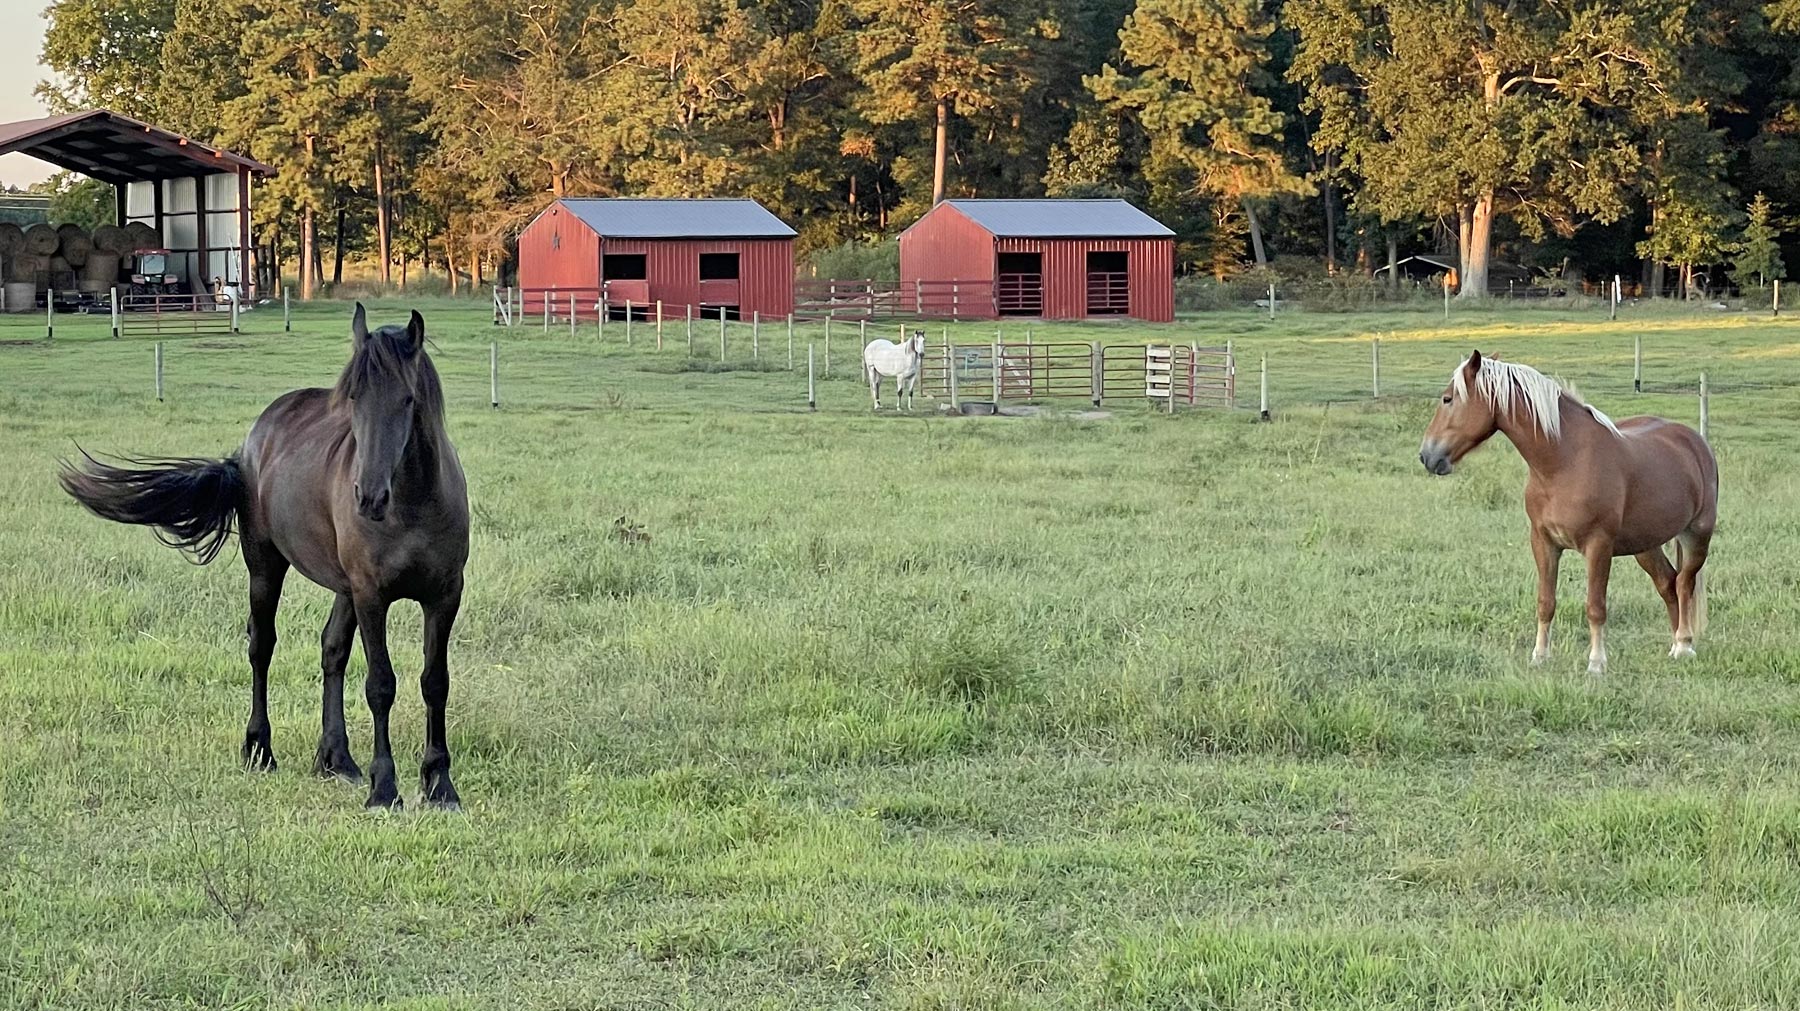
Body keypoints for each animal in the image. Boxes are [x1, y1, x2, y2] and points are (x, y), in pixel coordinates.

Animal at [60, 304, 470, 810]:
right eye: (353, 398)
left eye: (408, 400)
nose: (369, 497)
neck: (411, 505)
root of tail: (253, 439)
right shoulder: (372, 596)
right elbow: (381, 684)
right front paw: (384, 788)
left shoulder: (444, 595)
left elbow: (435, 682)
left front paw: (439, 783)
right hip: (266, 565)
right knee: (262, 646)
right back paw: (260, 748)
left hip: (343, 587)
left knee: (332, 650)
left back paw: (336, 759)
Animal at [1419, 350, 1717, 674]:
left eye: (1447, 398)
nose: (1426, 456)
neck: (1564, 462)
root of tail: (1694, 440)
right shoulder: (1543, 542)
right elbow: (1545, 602)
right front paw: (1539, 656)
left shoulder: (1598, 547)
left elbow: (1595, 606)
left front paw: (1596, 664)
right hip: (1646, 545)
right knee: (1667, 583)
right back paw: (1675, 644)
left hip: (1697, 535)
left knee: (1684, 583)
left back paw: (1684, 644)